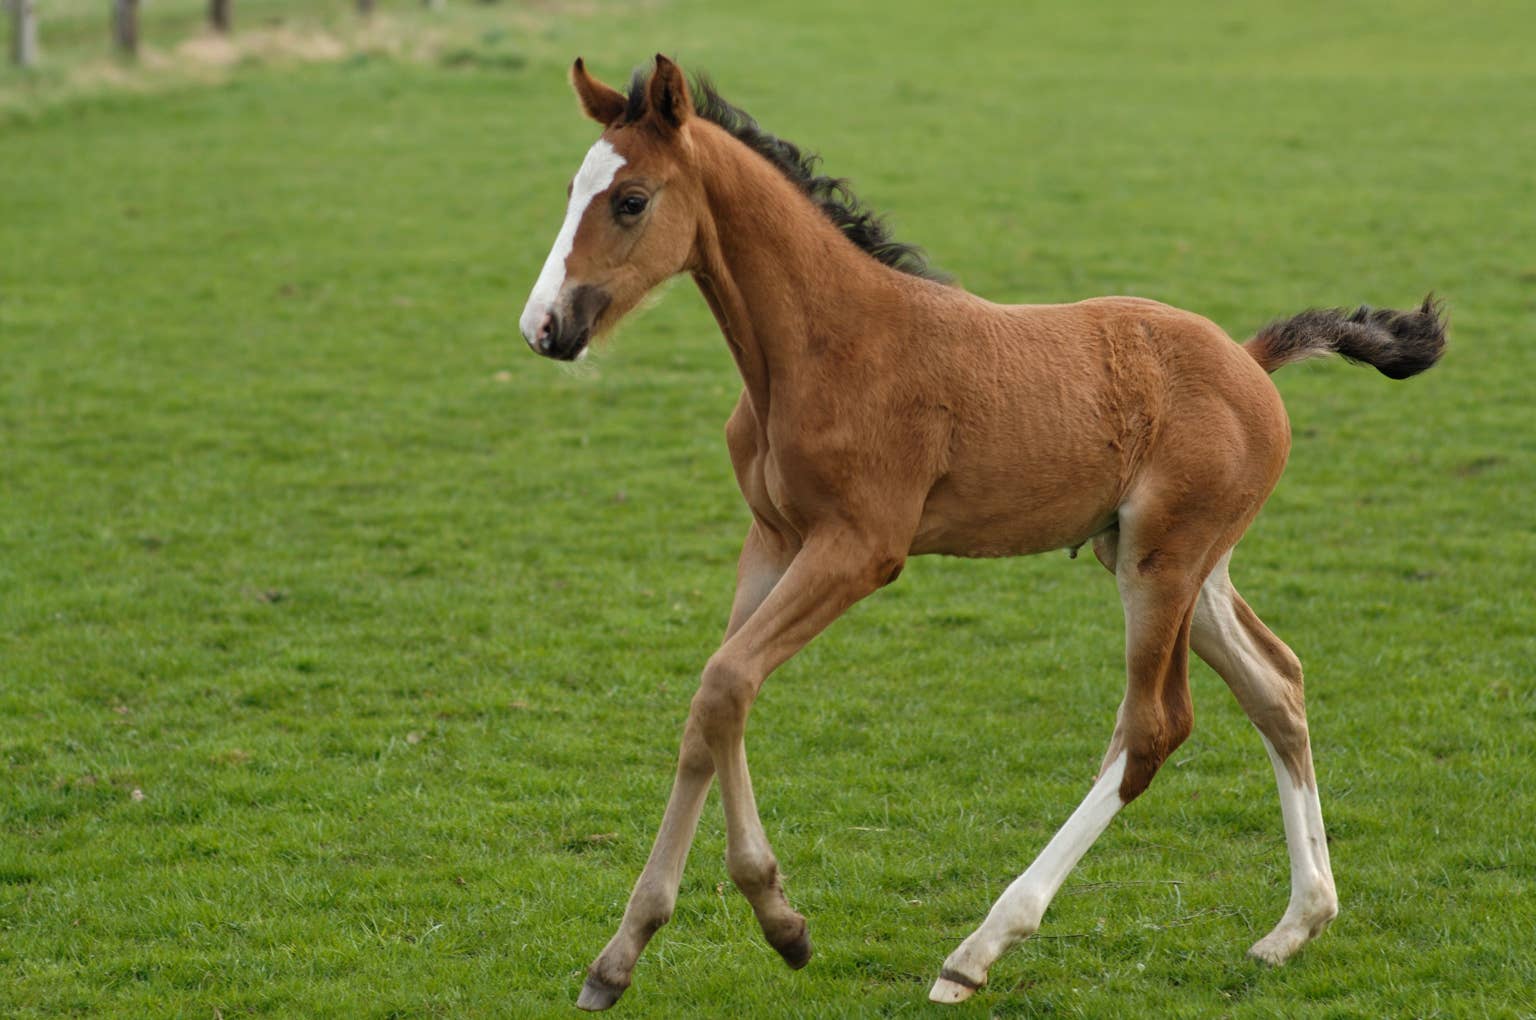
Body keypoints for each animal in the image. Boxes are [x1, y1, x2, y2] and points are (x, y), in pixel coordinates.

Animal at [517, 55, 1446, 1010]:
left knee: (1153, 727)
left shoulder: (861, 548)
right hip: (1173, 561)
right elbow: (714, 703)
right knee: (1276, 685)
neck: (821, 346)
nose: (545, 327)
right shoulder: (771, 540)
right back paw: (1295, 925)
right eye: (573, 190)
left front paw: (772, 921)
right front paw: (634, 950)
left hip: (1163, 562)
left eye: (631, 199)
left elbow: (726, 682)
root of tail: (1250, 360)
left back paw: (978, 949)